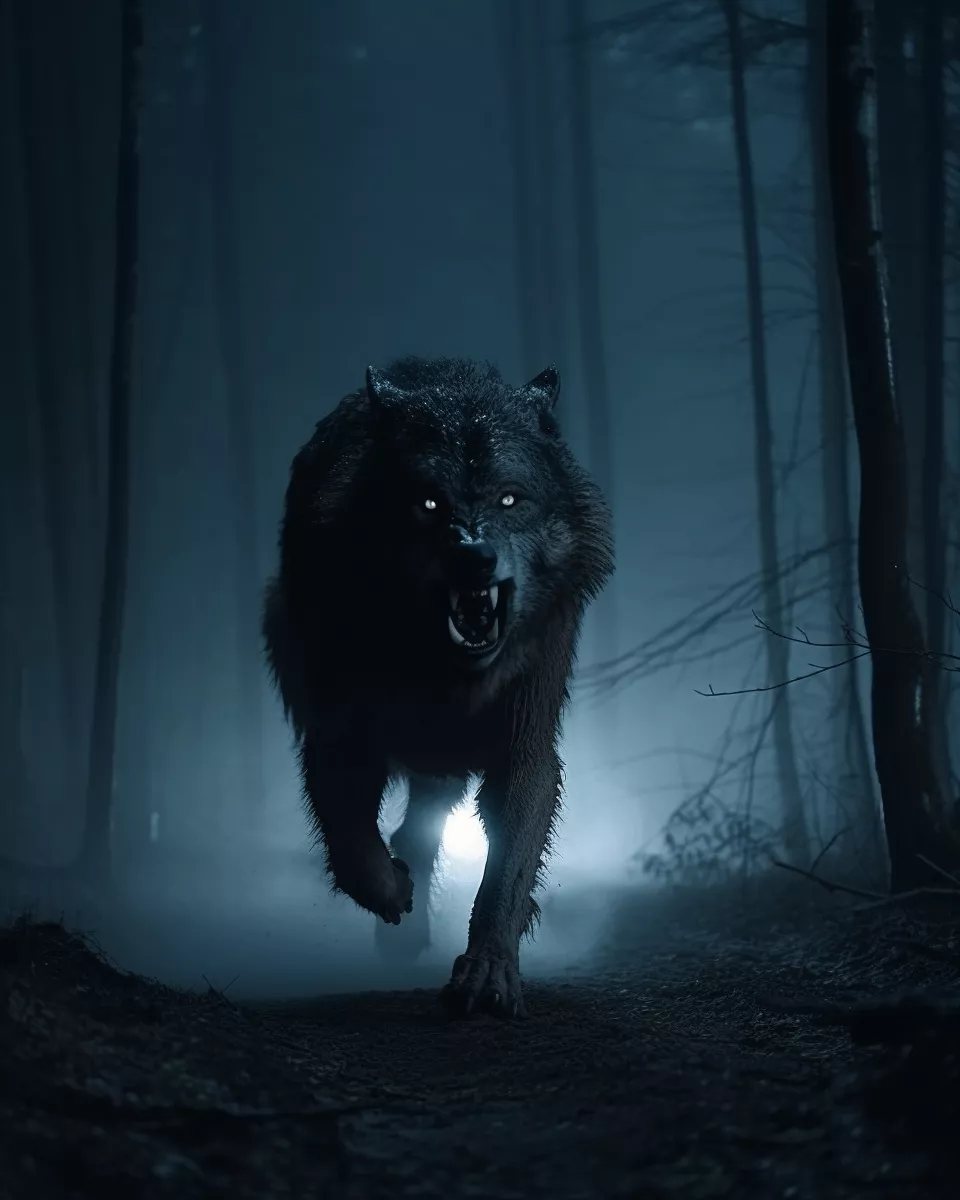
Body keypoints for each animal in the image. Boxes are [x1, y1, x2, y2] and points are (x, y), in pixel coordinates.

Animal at [262, 357, 613, 1017]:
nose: (474, 556)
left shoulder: (524, 749)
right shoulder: (339, 731)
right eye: (428, 502)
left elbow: (505, 874)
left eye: (509, 498)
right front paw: (386, 892)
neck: (445, 676)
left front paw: (488, 970)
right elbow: (351, 841)